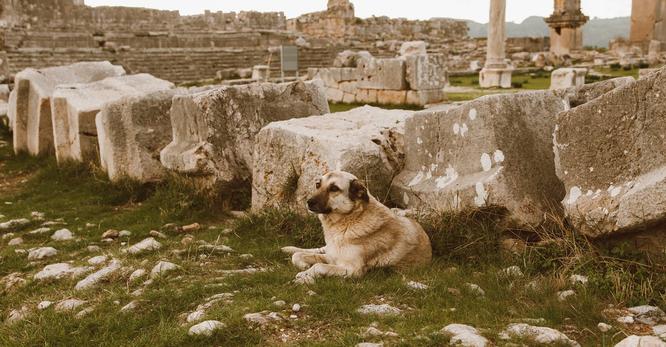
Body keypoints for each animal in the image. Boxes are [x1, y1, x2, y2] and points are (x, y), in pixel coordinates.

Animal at [280, 171, 430, 286]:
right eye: (318, 185)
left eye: (334, 188)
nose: (309, 202)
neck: (349, 220)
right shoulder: (332, 257)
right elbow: (299, 256)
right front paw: (304, 266)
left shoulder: (352, 269)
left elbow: (318, 266)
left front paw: (305, 274)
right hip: (327, 249)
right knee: (312, 250)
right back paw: (288, 249)